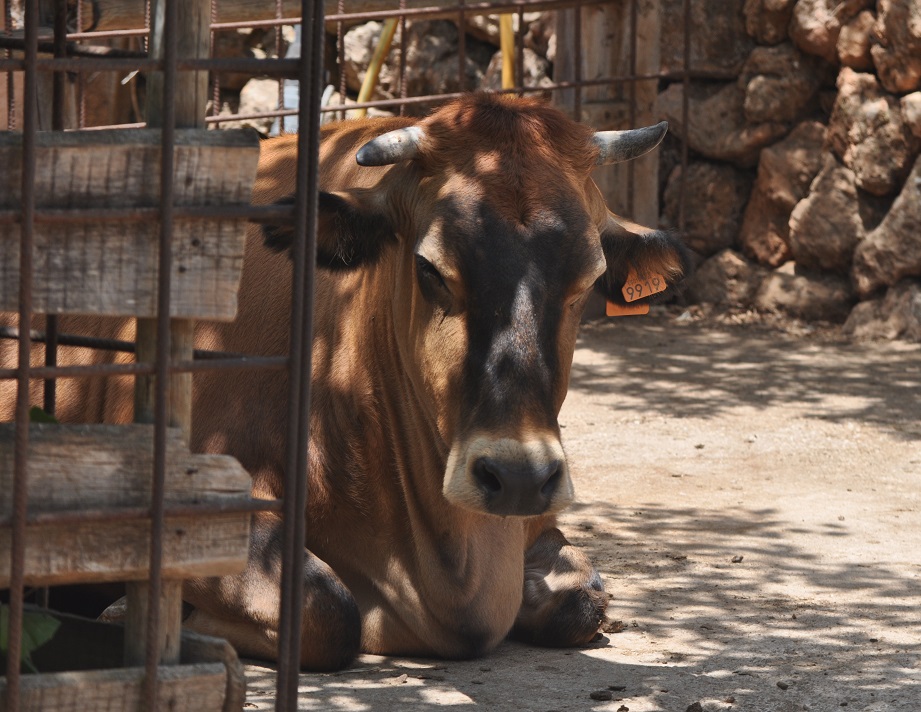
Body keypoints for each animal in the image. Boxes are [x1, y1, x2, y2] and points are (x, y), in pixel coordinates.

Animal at [1, 92, 688, 671]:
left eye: (588, 276)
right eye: (429, 268)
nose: (516, 476)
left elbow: (582, 599)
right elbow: (330, 614)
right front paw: (130, 612)